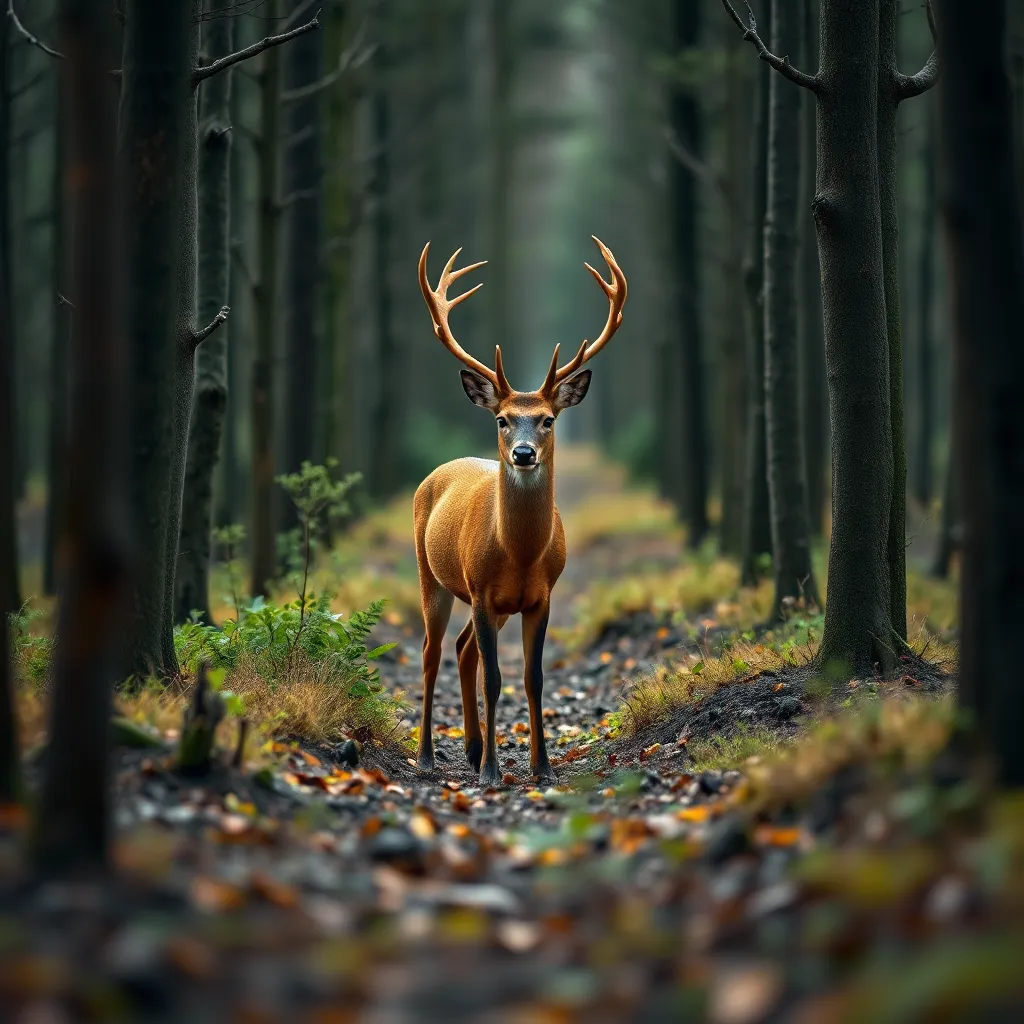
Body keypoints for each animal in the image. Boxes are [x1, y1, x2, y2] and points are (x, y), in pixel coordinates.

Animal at [413, 236, 627, 787]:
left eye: (549, 419)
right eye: (504, 419)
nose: (524, 453)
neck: (519, 553)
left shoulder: (539, 596)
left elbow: (534, 678)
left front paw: (541, 766)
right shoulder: (482, 590)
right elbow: (496, 679)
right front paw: (492, 771)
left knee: (462, 649)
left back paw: (469, 749)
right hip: (433, 575)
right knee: (432, 653)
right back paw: (427, 756)